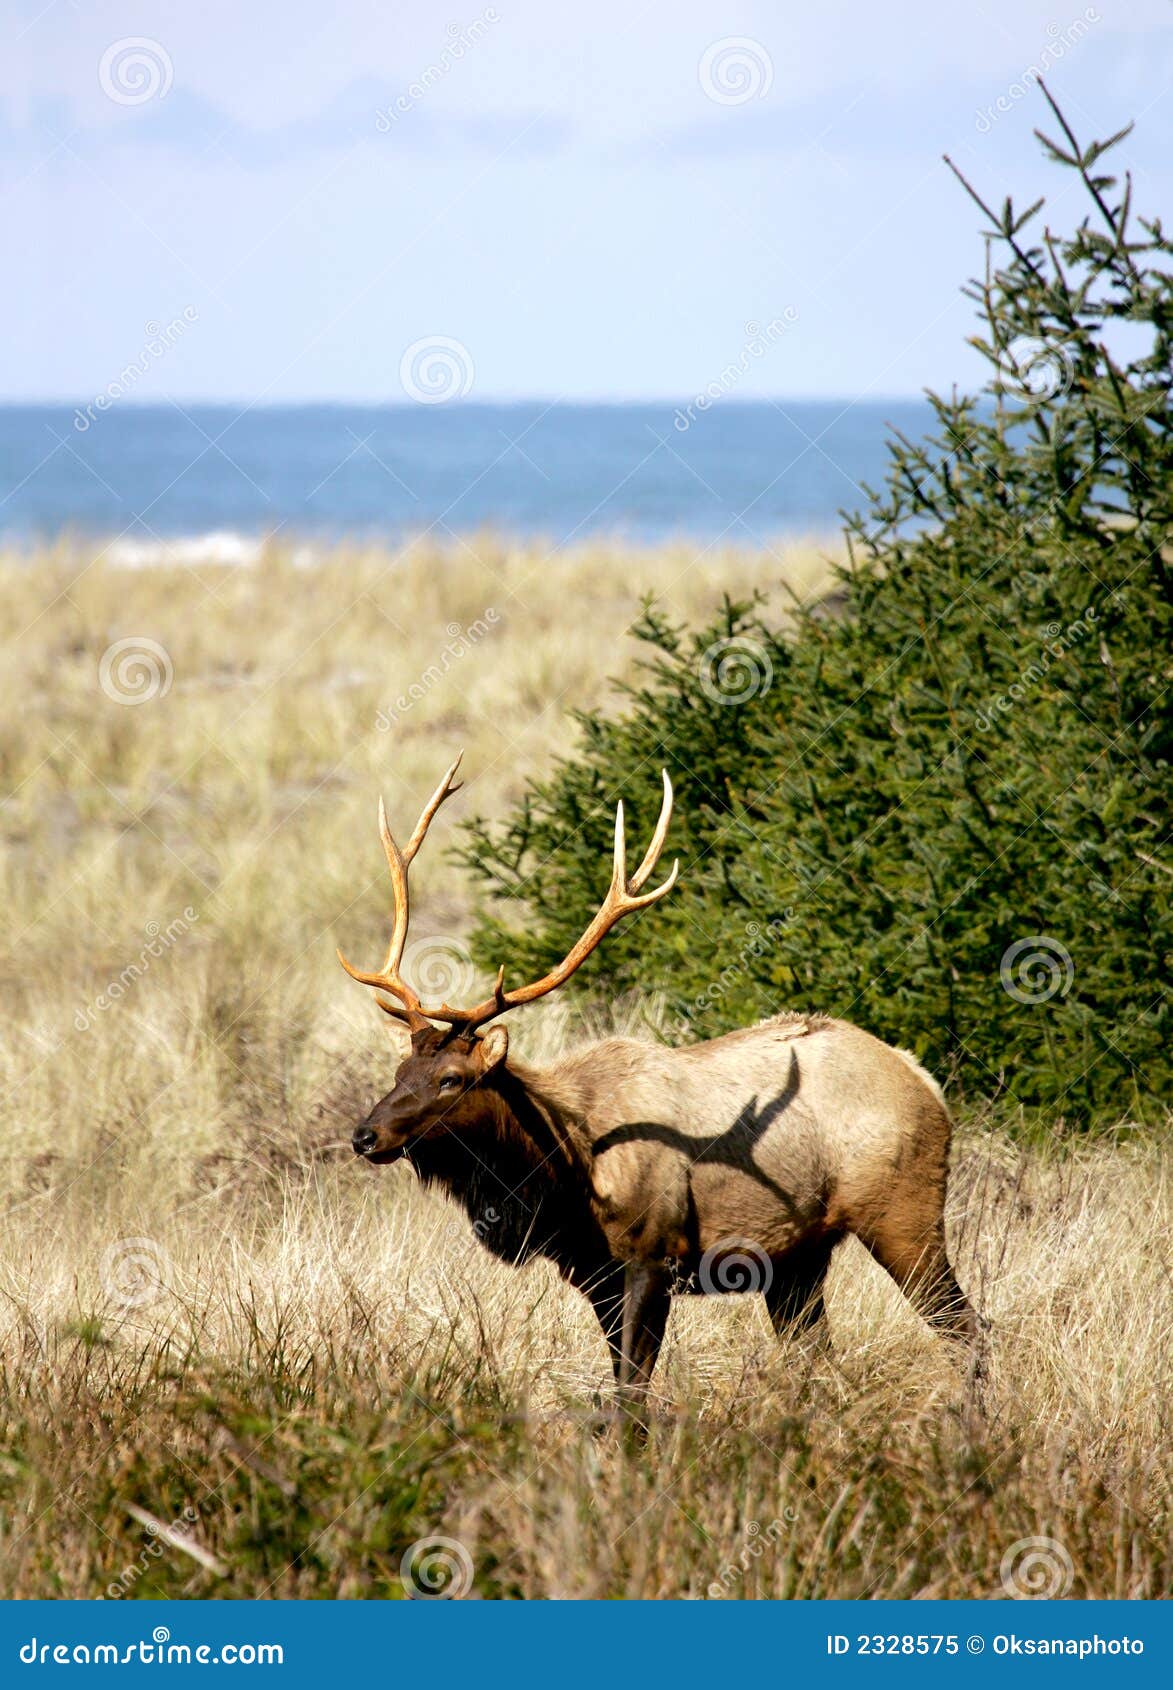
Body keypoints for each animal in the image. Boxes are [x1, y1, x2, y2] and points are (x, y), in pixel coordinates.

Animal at [338, 755, 977, 1425]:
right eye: (398, 1074)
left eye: (452, 1080)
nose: (365, 1135)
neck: (565, 1175)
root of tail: (927, 1083)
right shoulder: (593, 1273)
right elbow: (625, 1381)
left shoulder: (652, 1253)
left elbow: (633, 1391)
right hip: (798, 1256)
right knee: (819, 1356)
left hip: (904, 1211)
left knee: (966, 1328)